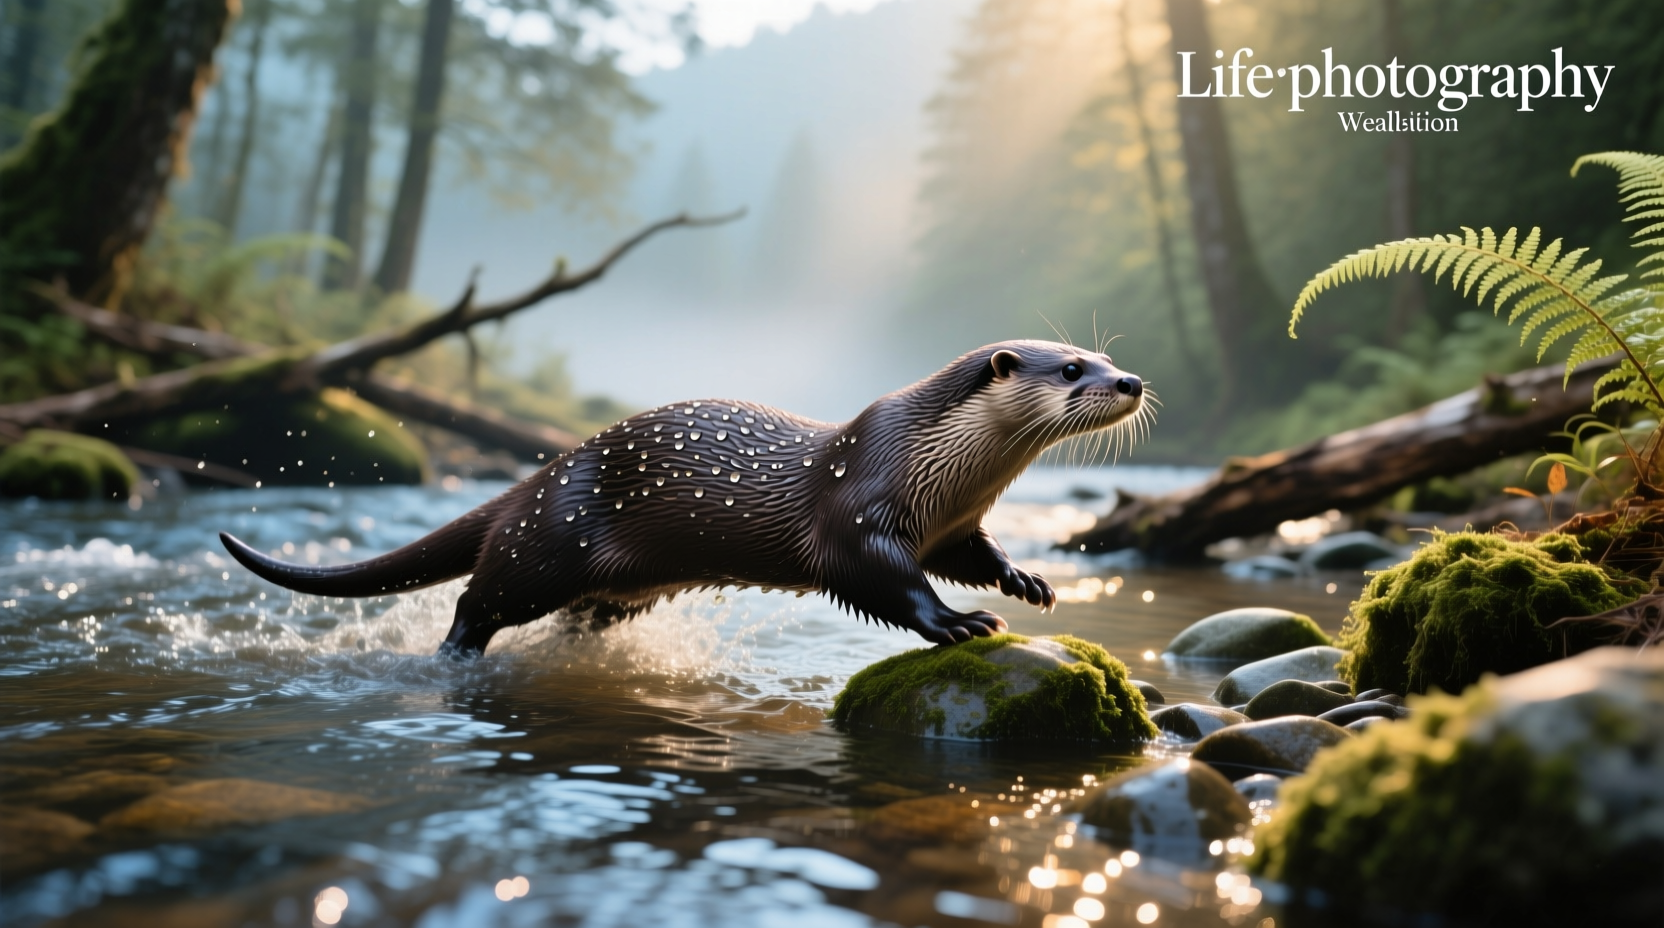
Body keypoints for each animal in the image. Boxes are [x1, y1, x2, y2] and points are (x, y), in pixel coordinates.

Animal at [220, 340, 1147, 656]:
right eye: (1072, 367)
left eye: (1104, 356)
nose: (1131, 380)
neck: (935, 466)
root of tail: (538, 473)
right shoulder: (858, 509)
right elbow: (877, 579)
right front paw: (956, 623)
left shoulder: (953, 525)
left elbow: (973, 555)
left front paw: (1024, 582)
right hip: (545, 543)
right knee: (476, 601)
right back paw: (454, 656)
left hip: (606, 583)